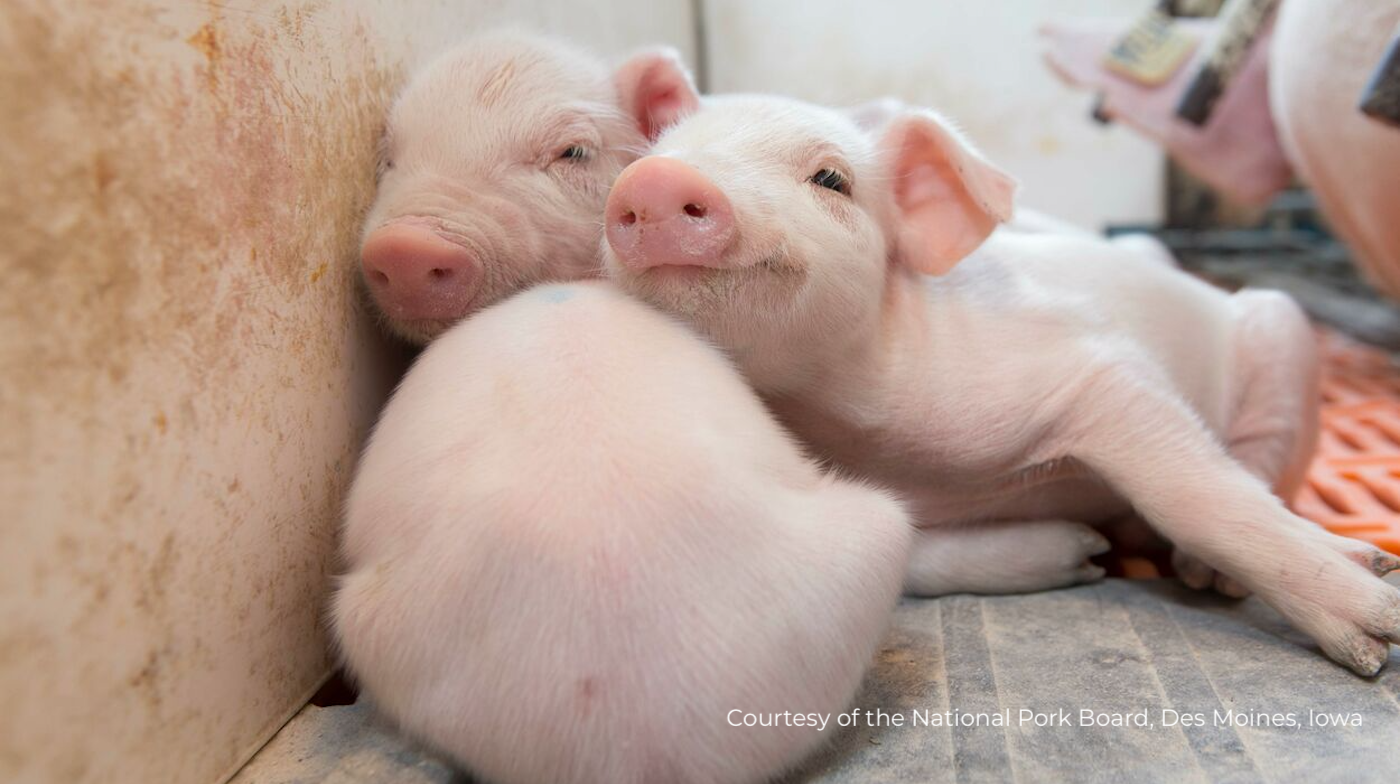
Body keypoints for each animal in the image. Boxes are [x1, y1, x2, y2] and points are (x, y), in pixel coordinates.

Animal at [601, 84, 1400, 676]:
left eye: (832, 179)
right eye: (656, 155)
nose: (660, 178)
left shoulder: (1092, 365)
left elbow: (1189, 489)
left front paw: (1377, 628)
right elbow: (912, 557)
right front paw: (1084, 554)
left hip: (1283, 333)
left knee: (1261, 457)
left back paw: (1216, 576)